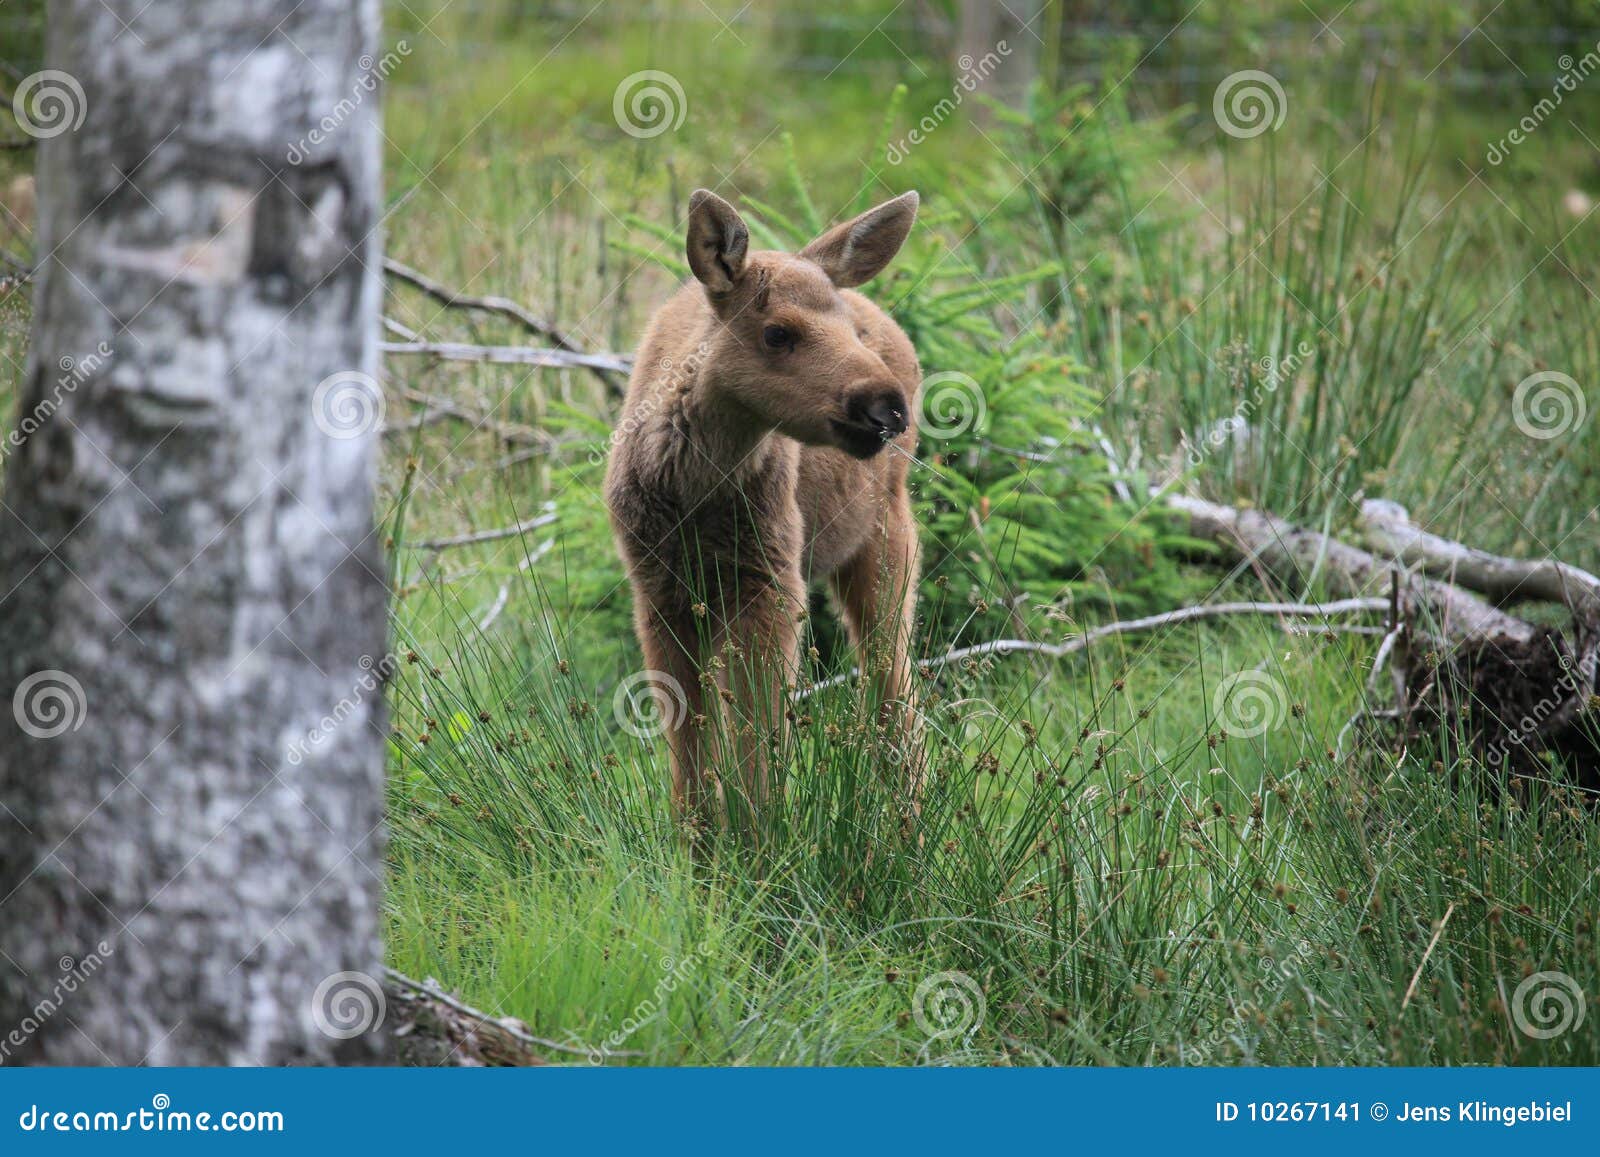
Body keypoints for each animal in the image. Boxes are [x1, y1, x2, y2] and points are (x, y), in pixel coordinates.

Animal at [604, 187, 925, 841]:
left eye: (848, 330)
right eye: (777, 333)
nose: (884, 406)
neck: (692, 497)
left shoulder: (771, 582)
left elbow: (758, 740)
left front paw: (760, 847)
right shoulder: (658, 592)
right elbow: (690, 751)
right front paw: (699, 851)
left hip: (886, 536)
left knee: (893, 690)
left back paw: (915, 835)